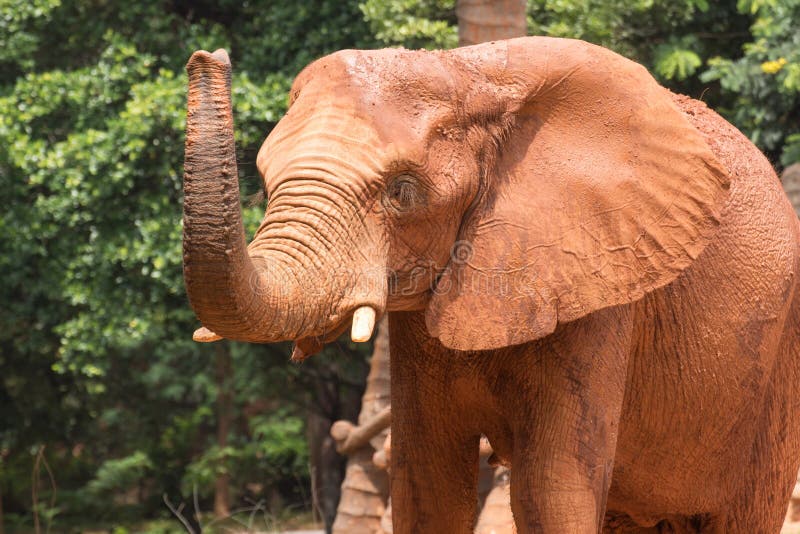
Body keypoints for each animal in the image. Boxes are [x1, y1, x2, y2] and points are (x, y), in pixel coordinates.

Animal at [181, 37, 800, 533]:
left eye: (403, 192)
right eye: (264, 183)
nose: (210, 57)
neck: (469, 74)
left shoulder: (601, 289)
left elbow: (550, 493)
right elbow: (426, 485)